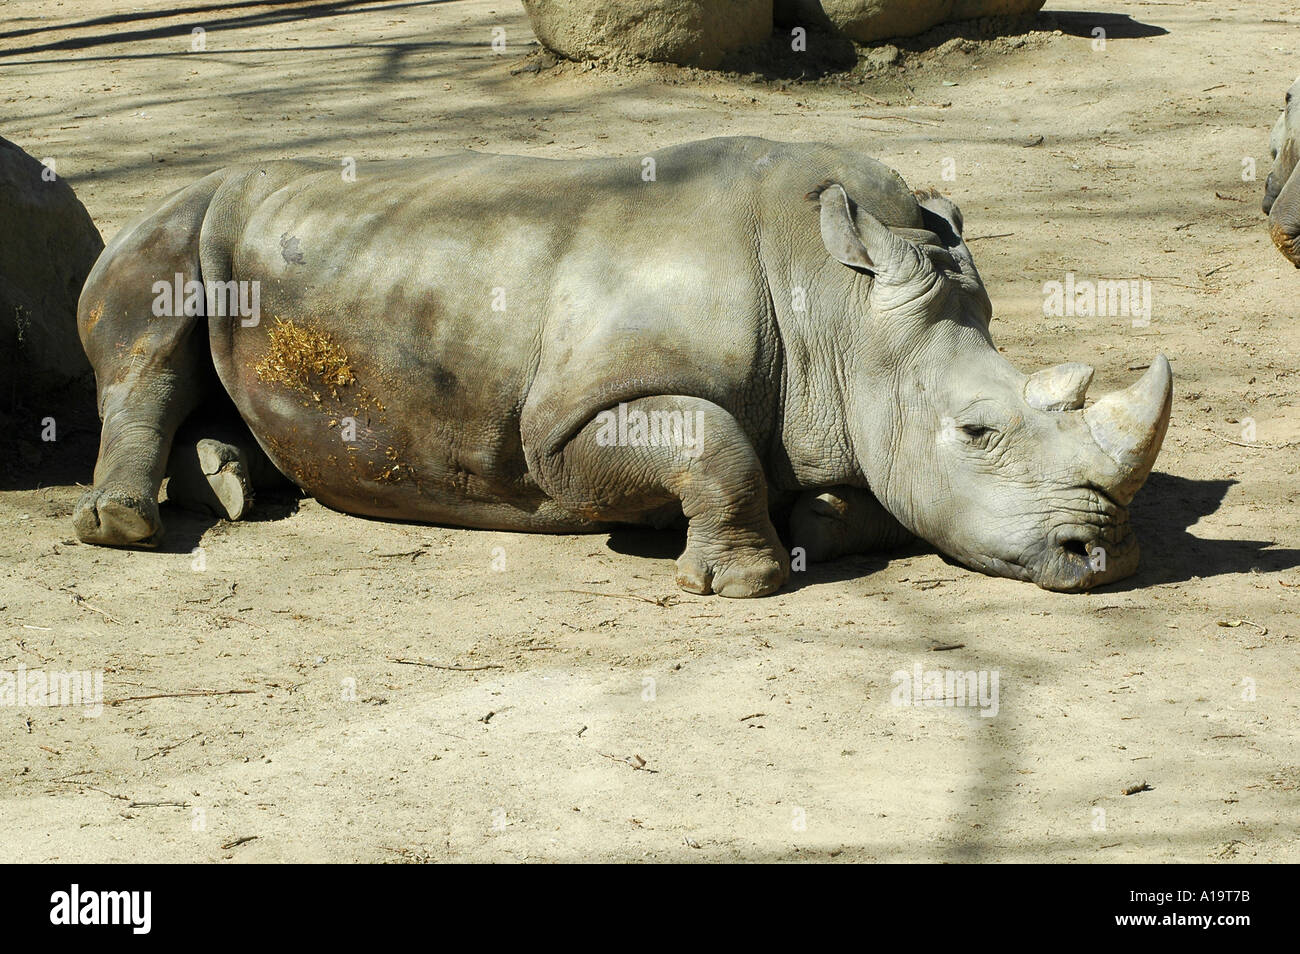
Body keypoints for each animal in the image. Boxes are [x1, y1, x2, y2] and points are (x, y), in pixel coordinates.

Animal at [73, 137, 1171, 596]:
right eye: (977, 432)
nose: (1106, 556)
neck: (839, 310)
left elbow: (853, 490)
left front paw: (816, 518)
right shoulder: (565, 424)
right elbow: (713, 445)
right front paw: (740, 581)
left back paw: (231, 486)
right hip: (183, 217)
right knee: (146, 342)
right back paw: (121, 528)